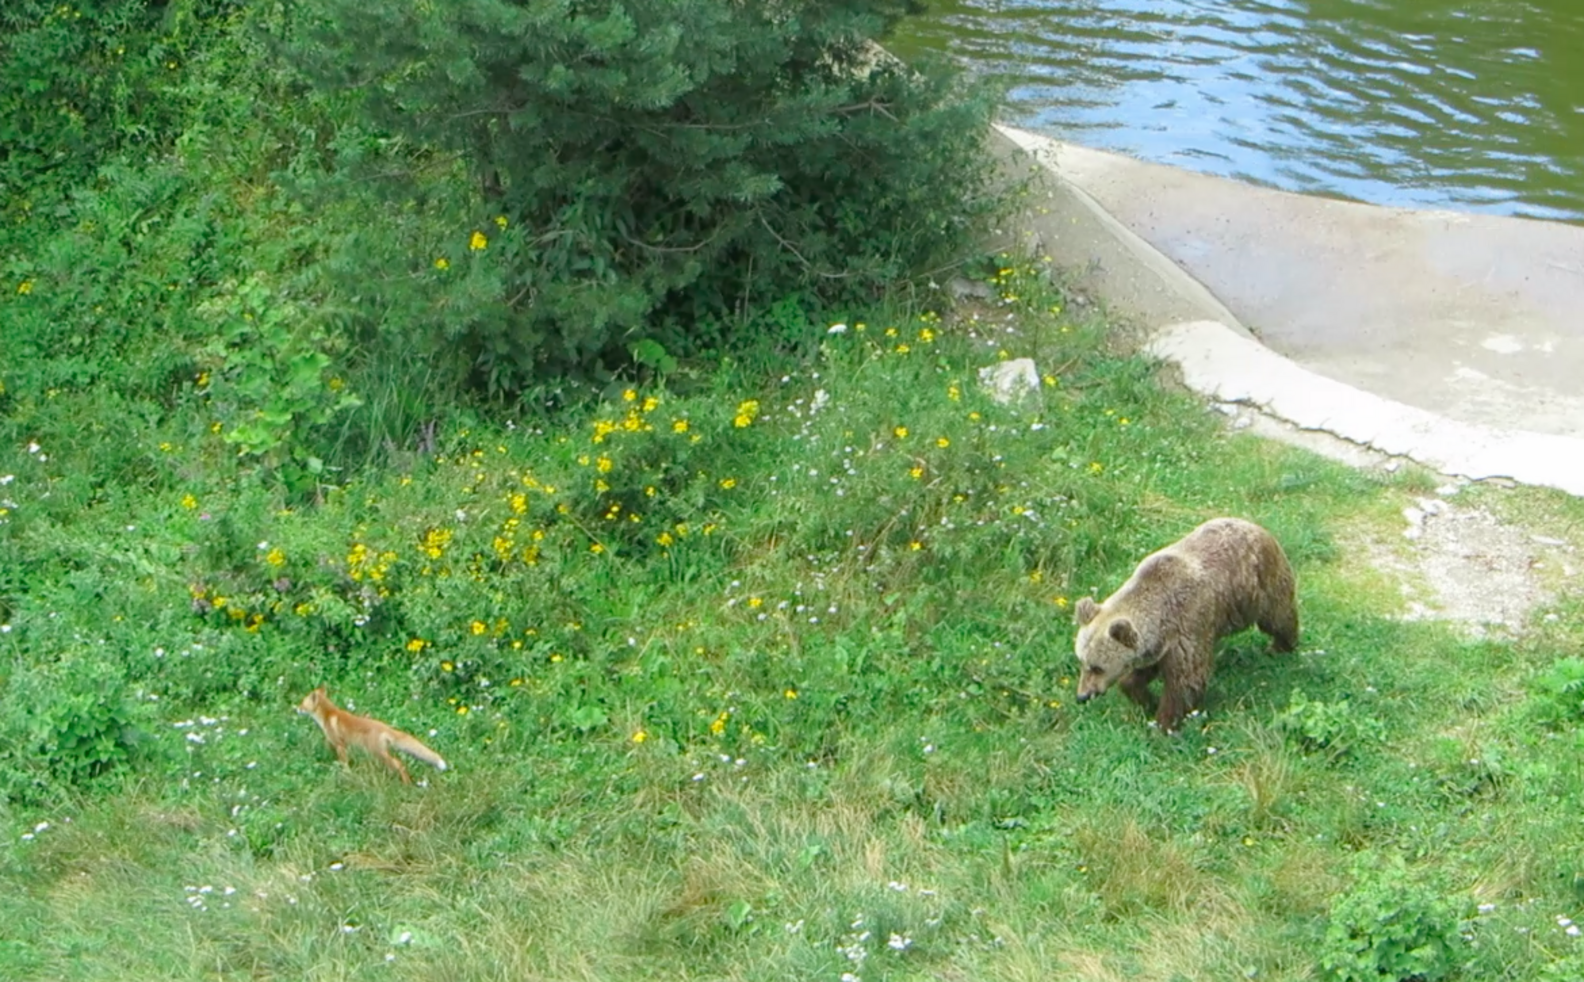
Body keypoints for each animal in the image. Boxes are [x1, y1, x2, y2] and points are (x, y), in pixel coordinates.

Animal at [295, 687, 448, 784]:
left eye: (302, 704)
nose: (296, 709)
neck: (328, 715)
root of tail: (385, 727)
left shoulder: (340, 745)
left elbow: (344, 764)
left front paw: (346, 775)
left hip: (378, 753)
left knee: (399, 764)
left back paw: (406, 784)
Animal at [1072, 517, 1298, 732]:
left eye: (1098, 667)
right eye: (1082, 662)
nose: (1083, 696)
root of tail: (1252, 524)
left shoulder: (1188, 625)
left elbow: (1185, 680)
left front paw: (1164, 723)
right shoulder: (1157, 644)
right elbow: (1141, 674)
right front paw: (1146, 700)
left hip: (1260, 587)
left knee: (1278, 616)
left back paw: (1281, 646)